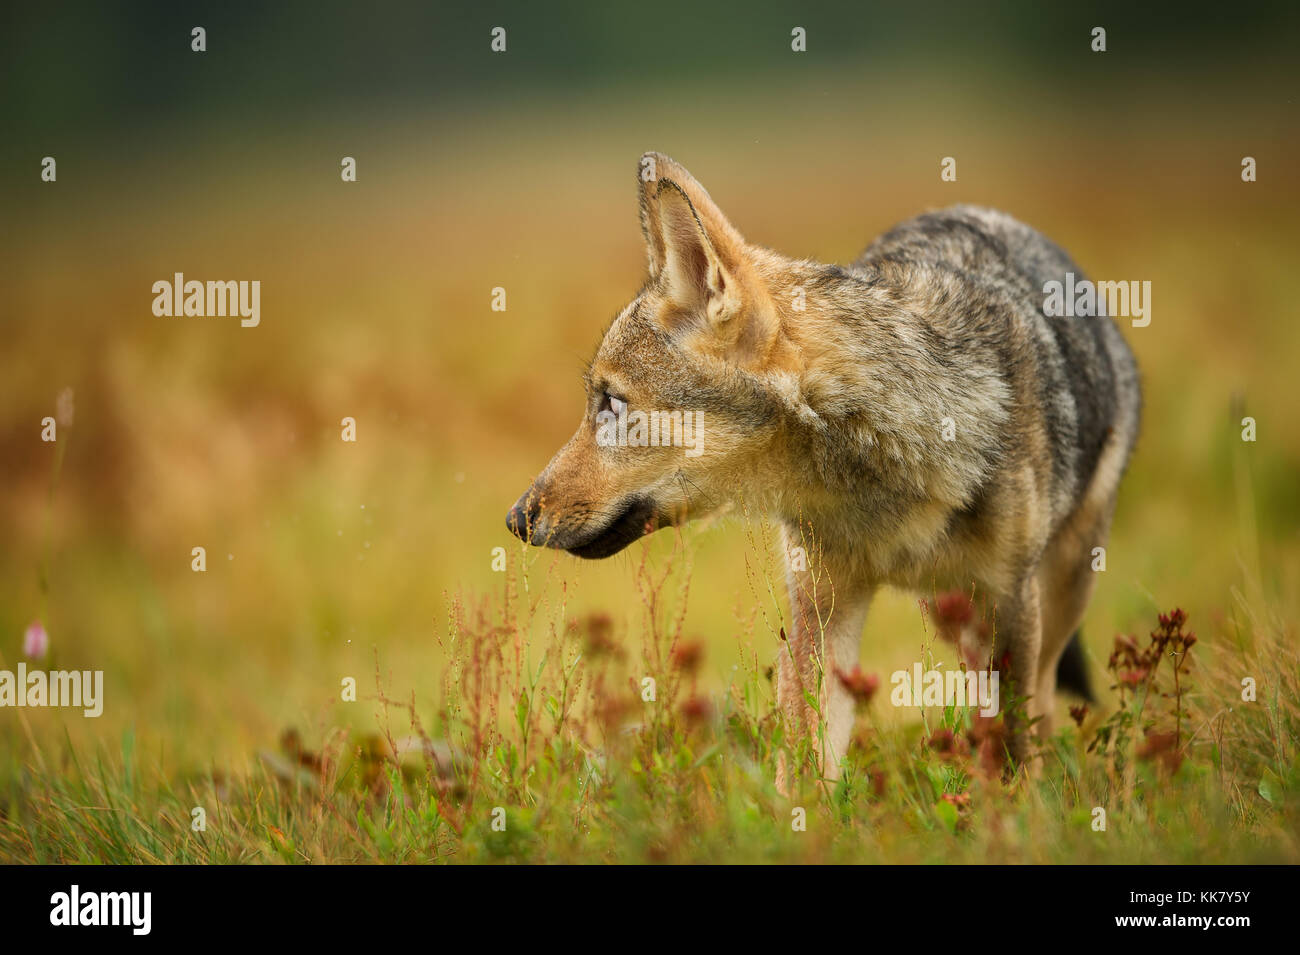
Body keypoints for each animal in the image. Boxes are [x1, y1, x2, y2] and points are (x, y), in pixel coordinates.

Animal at [507, 152, 1141, 786]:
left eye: (612, 404)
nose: (516, 519)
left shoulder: (1010, 600)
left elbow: (1015, 740)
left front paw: (1014, 807)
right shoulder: (820, 609)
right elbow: (807, 763)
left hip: (1053, 594)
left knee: (1040, 699)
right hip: (949, 612)